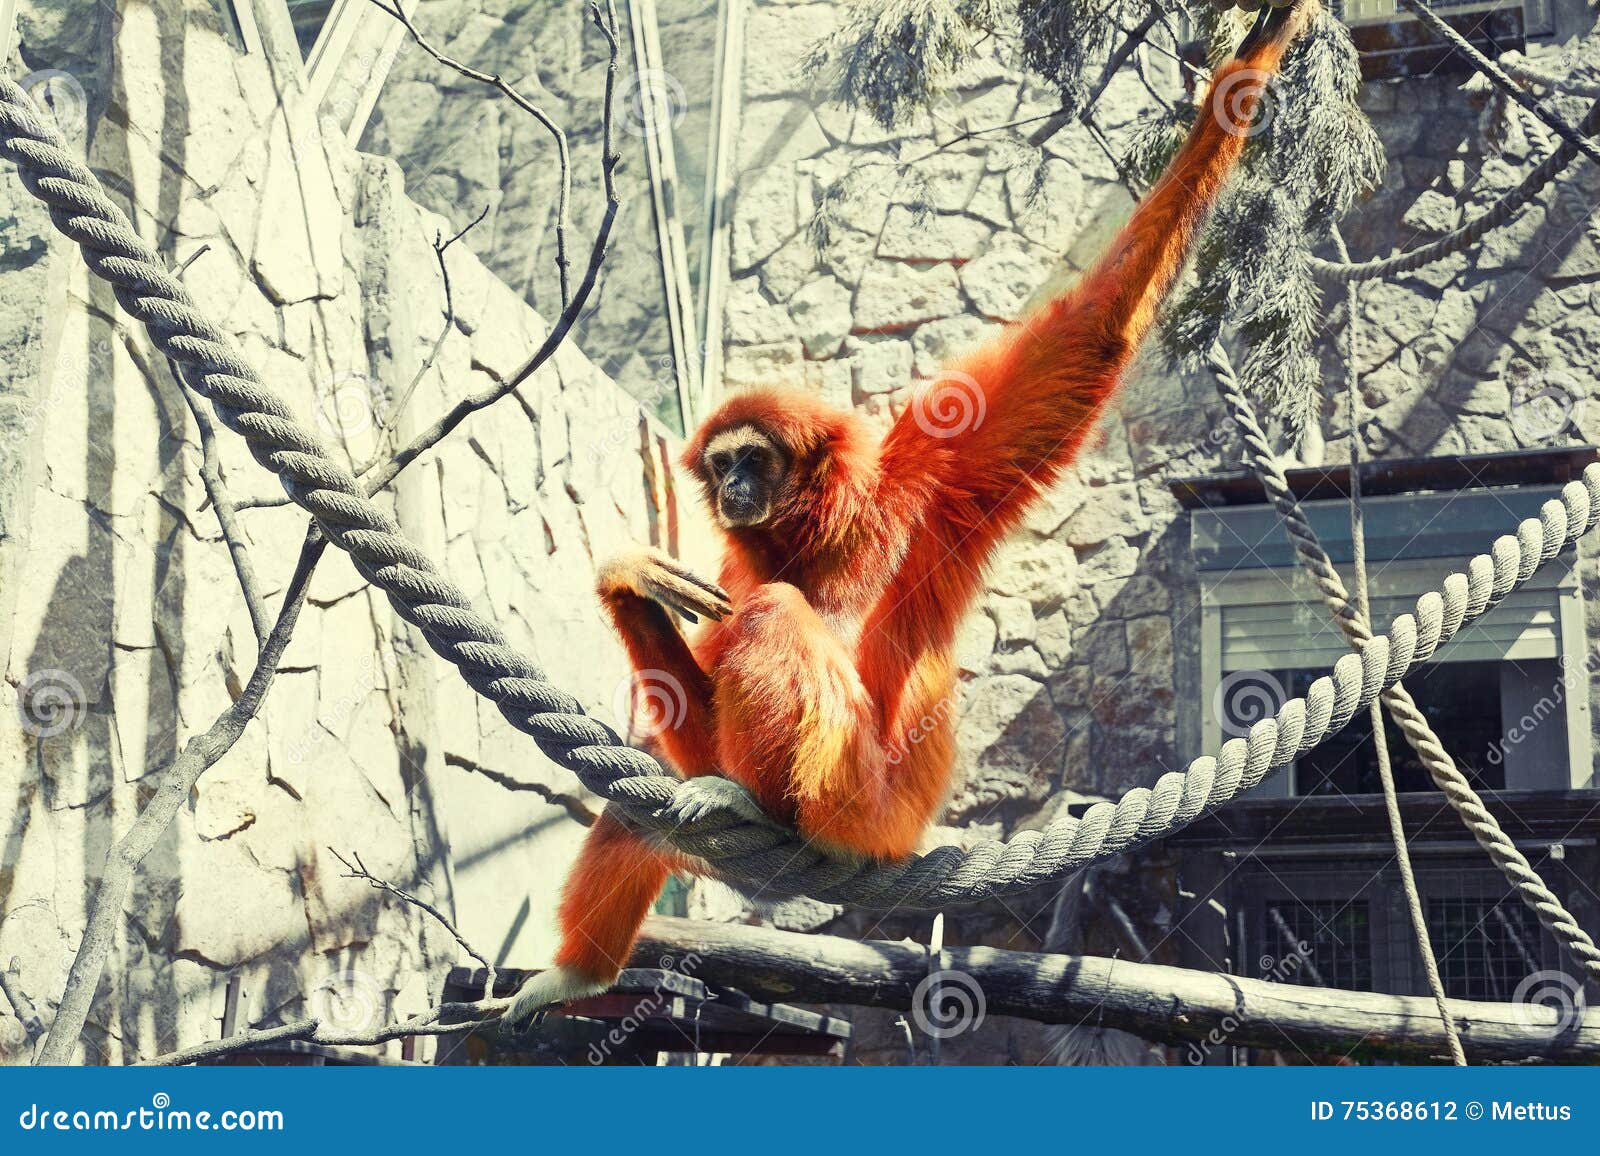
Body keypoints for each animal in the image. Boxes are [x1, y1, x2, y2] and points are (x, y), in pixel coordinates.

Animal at [507, 0, 1317, 1026]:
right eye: (722, 467)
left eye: (753, 461)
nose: (732, 490)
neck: (828, 531)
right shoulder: (738, 560)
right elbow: (694, 676)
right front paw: (632, 579)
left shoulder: (931, 479)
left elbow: (1087, 336)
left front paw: (1258, 57)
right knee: (646, 792)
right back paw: (585, 969)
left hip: (864, 805)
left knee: (778, 629)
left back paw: (757, 809)